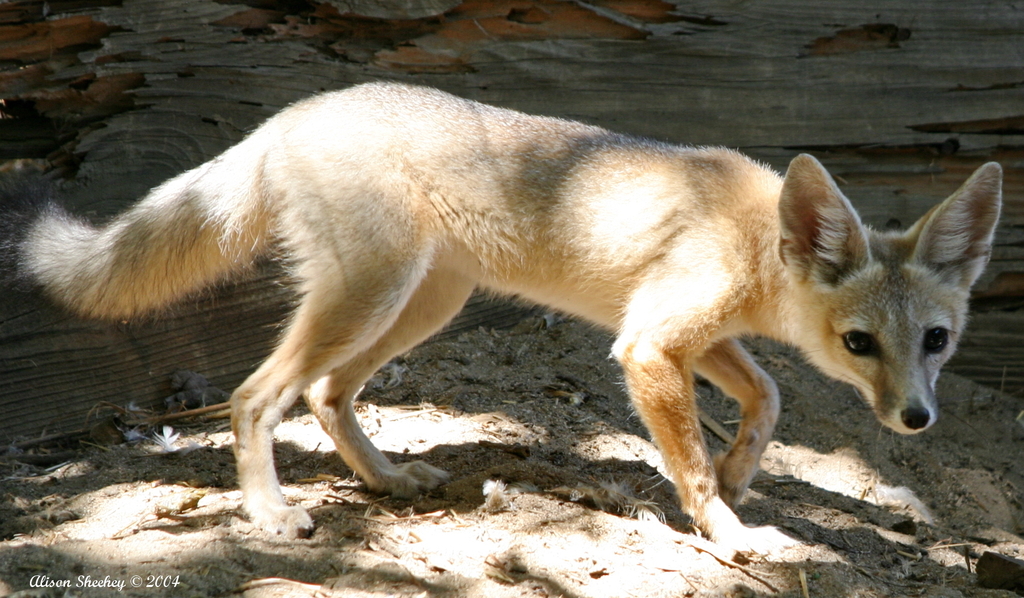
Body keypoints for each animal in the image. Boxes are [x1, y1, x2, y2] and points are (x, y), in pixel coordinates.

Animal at [0, 82, 1002, 554]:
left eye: (937, 342)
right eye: (860, 344)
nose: (917, 418)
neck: (756, 232)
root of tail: (294, 112)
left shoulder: (694, 337)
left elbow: (769, 402)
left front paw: (740, 475)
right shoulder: (649, 344)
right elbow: (695, 459)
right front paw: (731, 532)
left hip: (416, 306)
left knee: (324, 394)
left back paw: (386, 481)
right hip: (371, 297)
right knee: (256, 397)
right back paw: (272, 514)